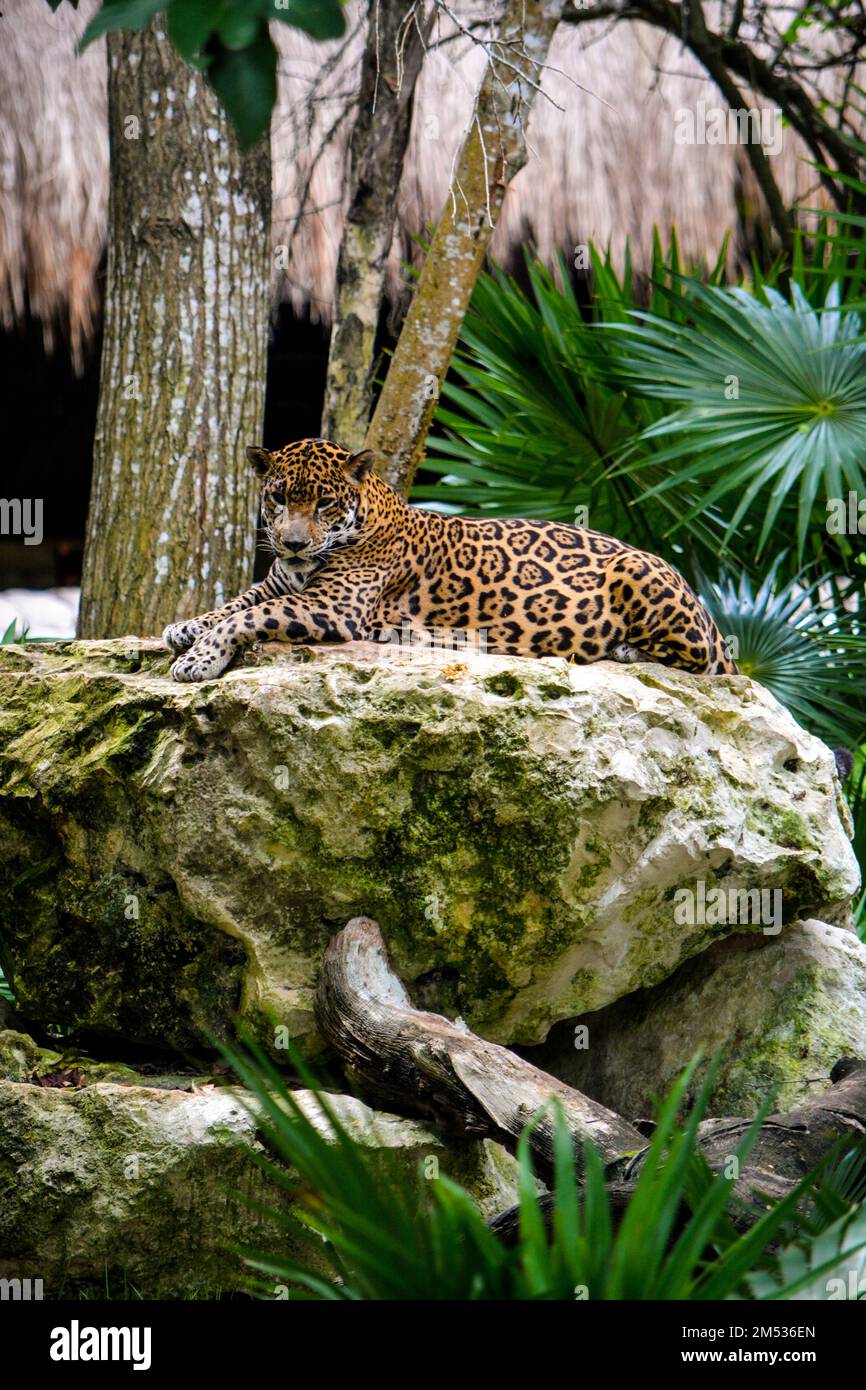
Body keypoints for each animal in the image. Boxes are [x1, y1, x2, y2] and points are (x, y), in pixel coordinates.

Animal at [163, 437, 738, 682]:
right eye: (278, 497)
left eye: (324, 502)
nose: (293, 544)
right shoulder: (281, 583)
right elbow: (234, 602)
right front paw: (183, 627)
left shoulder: (332, 607)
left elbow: (247, 617)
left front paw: (197, 659)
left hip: (642, 578)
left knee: (697, 662)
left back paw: (625, 651)